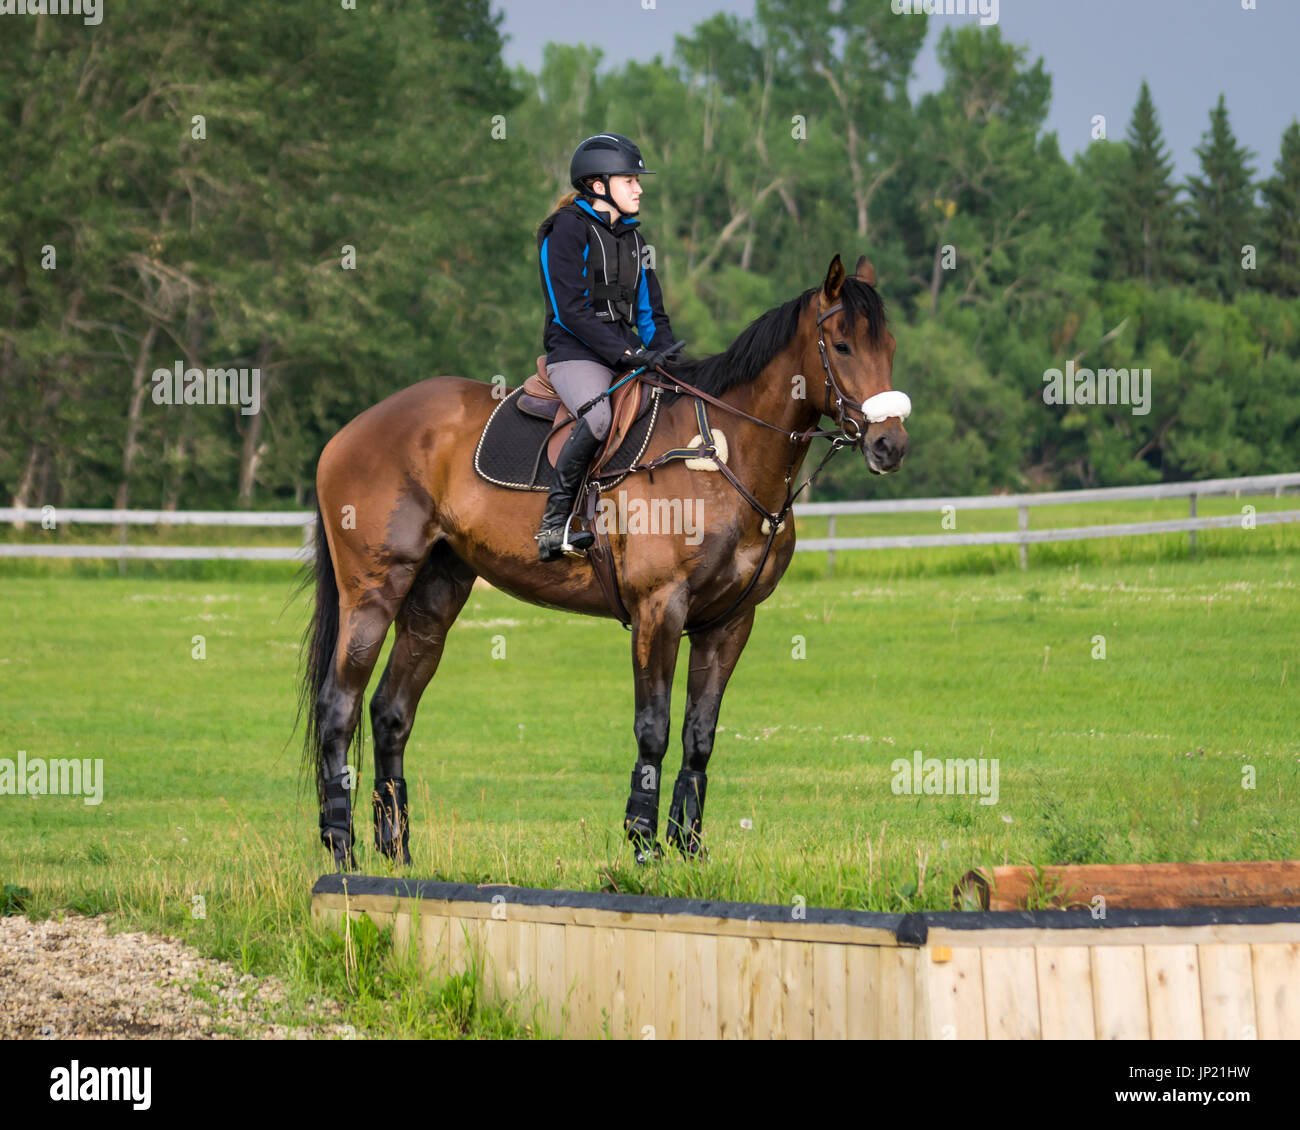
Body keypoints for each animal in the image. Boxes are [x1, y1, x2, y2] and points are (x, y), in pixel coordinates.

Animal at [298, 253, 910, 869]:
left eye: (889, 345)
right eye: (842, 344)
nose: (891, 446)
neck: (721, 453)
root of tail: (349, 433)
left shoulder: (729, 622)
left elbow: (700, 735)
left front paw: (688, 848)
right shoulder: (659, 611)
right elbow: (654, 728)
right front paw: (642, 844)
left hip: (433, 600)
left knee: (390, 713)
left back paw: (397, 855)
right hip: (373, 594)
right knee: (339, 707)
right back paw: (341, 849)